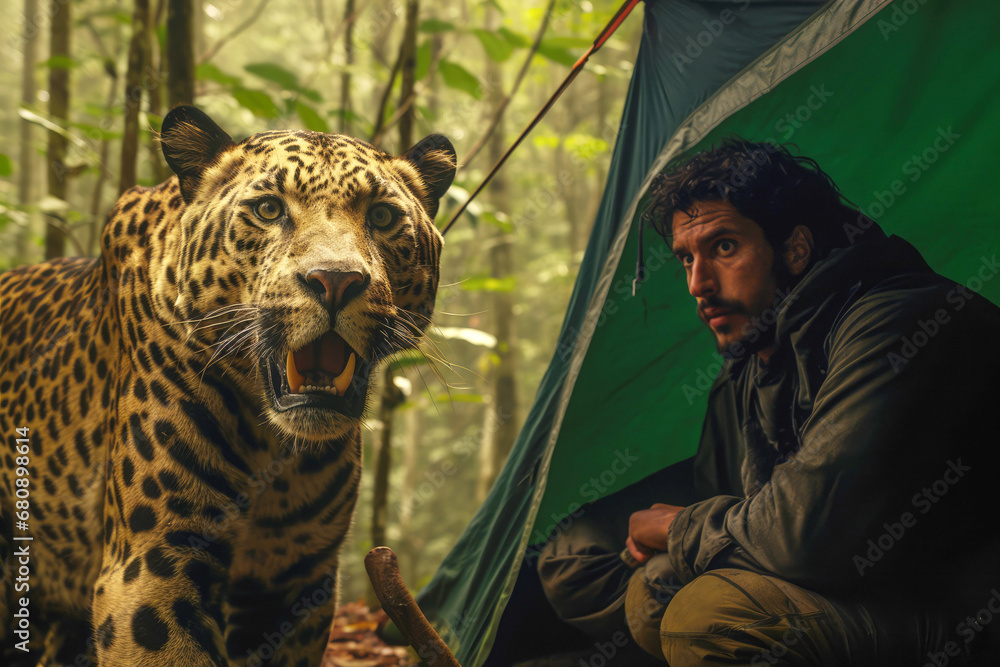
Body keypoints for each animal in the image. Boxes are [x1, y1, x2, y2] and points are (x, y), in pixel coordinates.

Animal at [0, 105, 455, 666]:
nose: (335, 280)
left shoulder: (292, 585)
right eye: (268, 209)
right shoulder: (153, 564)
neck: (275, 449)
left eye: (383, 217)